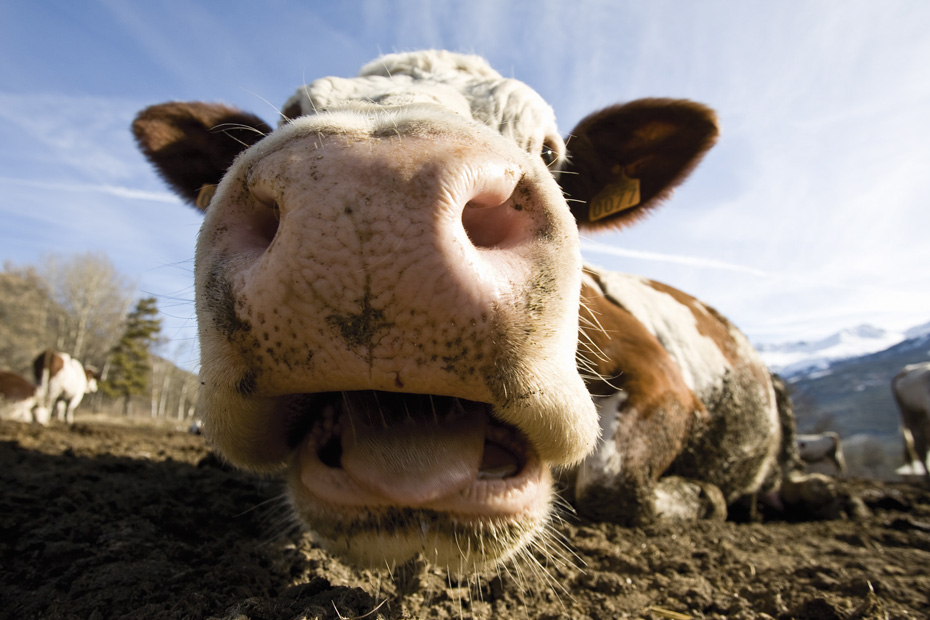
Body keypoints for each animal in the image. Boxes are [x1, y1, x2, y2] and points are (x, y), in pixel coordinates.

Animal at [132, 50, 806, 572]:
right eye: (288, 116)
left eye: (552, 151)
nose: (370, 195)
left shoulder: (664, 380)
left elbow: (607, 482)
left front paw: (706, 499)